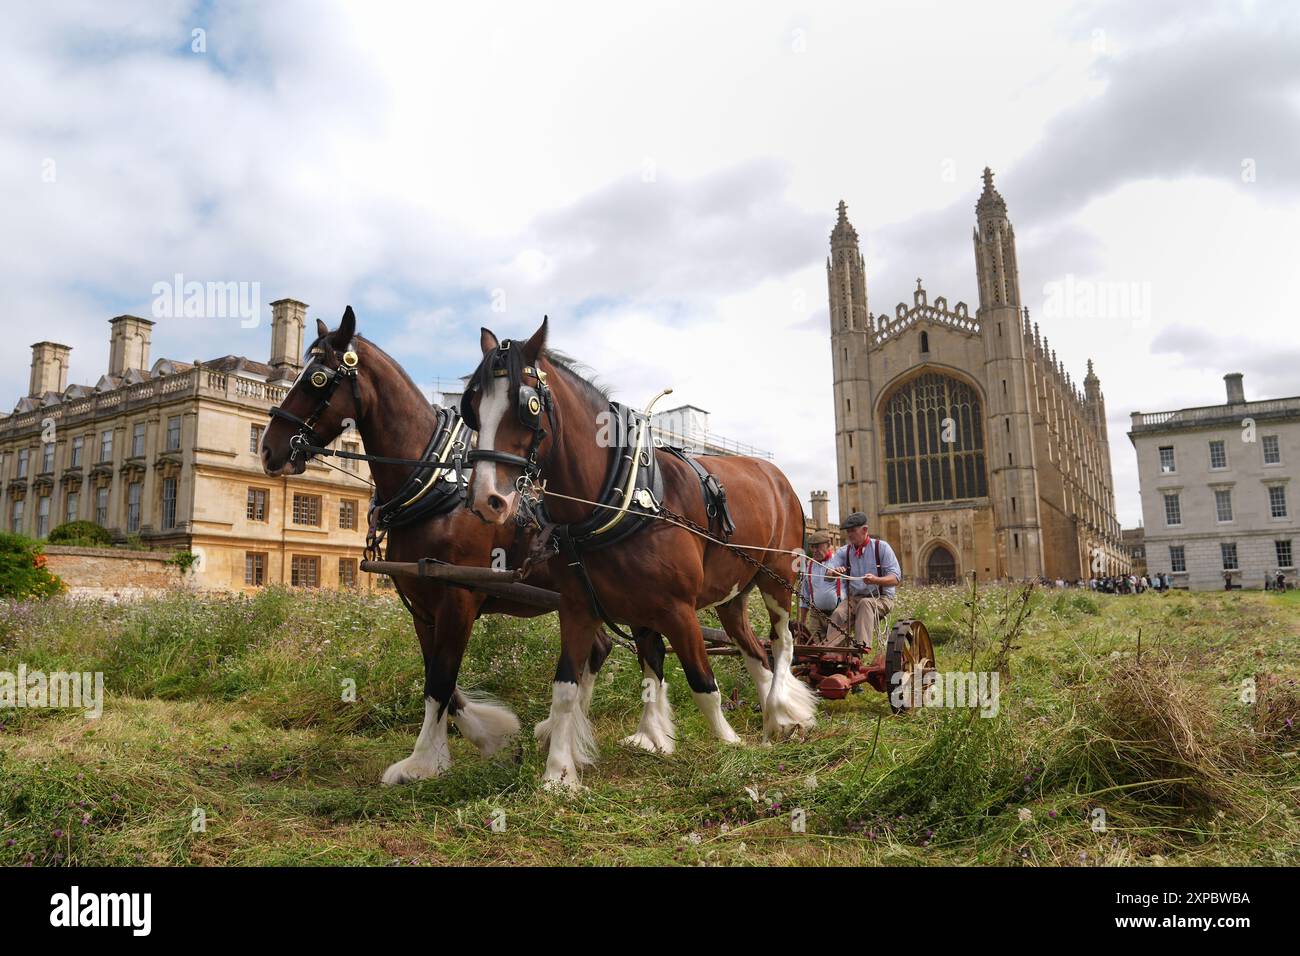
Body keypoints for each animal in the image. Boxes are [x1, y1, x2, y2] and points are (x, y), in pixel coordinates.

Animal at [260, 306, 623, 785]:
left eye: (318, 379)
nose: (268, 450)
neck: (437, 490)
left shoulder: (458, 600)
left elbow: (442, 680)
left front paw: (431, 757)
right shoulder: (422, 605)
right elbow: (436, 680)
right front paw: (461, 746)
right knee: (597, 649)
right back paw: (562, 733)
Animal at [461, 317, 818, 788]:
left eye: (528, 406)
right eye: (471, 406)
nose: (488, 499)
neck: (620, 499)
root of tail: (776, 475)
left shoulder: (678, 609)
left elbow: (702, 683)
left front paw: (730, 746)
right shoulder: (579, 608)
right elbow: (567, 689)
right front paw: (559, 774)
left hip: (777, 577)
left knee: (782, 642)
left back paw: (780, 708)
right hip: (731, 595)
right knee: (753, 650)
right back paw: (773, 722)